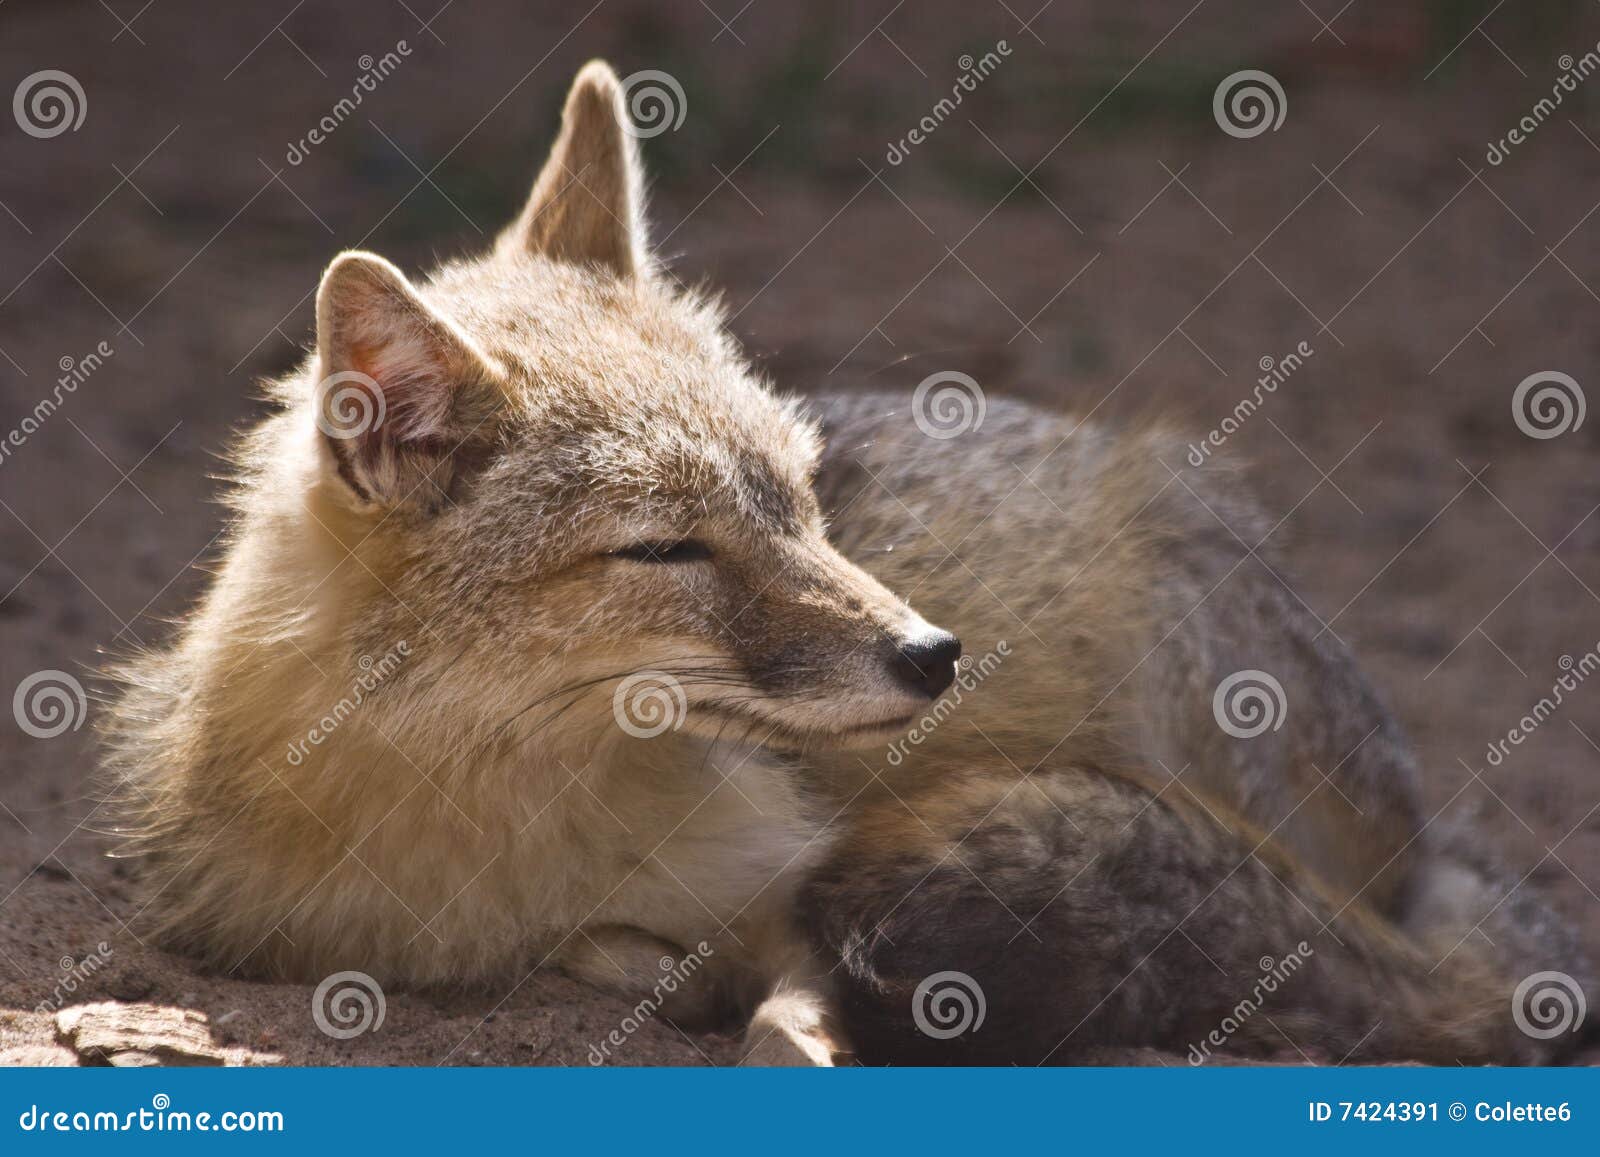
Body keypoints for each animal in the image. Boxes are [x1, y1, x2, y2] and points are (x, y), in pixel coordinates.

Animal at [101, 61, 1591, 1066]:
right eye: (668, 546)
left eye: (806, 498)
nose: (935, 656)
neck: (494, 814)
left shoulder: (806, 886)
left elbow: (786, 993)